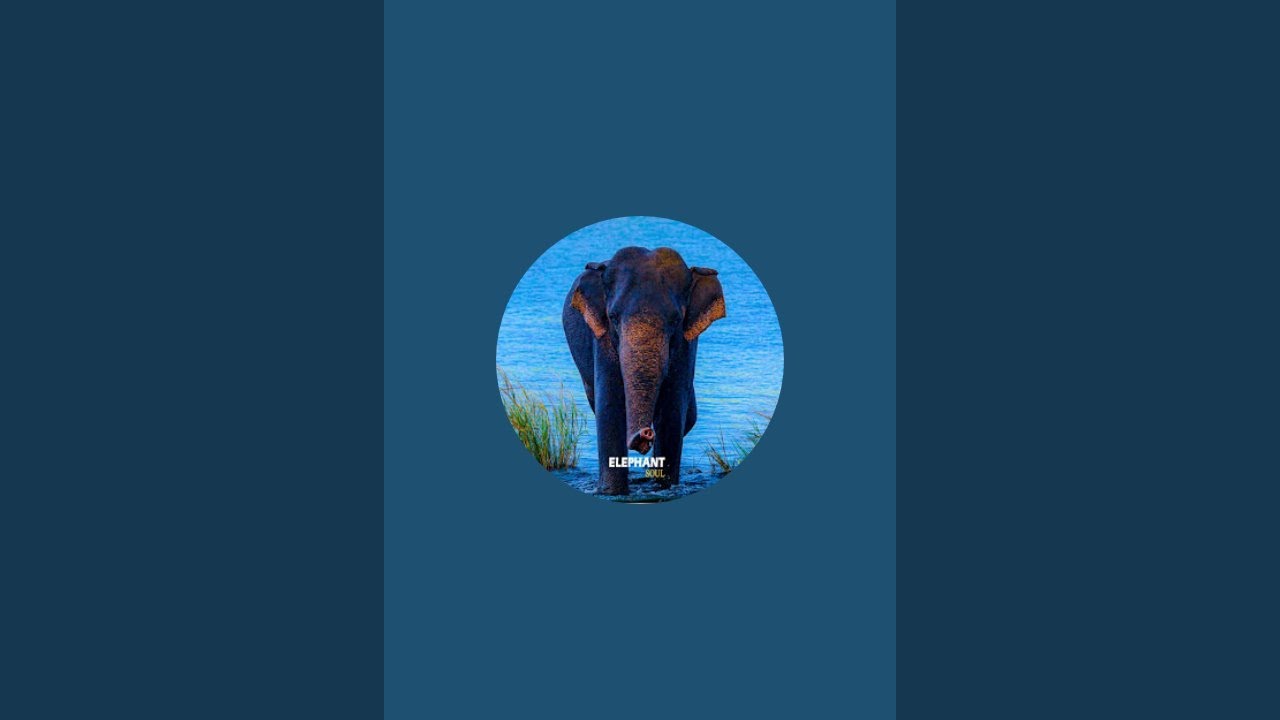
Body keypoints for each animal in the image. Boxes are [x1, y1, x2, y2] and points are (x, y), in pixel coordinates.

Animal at [562, 246, 726, 495]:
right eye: (613, 317)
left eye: (676, 320)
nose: (646, 433)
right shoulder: (602, 340)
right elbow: (609, 408)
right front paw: (612, 492)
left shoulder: (686, 345)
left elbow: (672, 412)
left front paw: (662, 489)